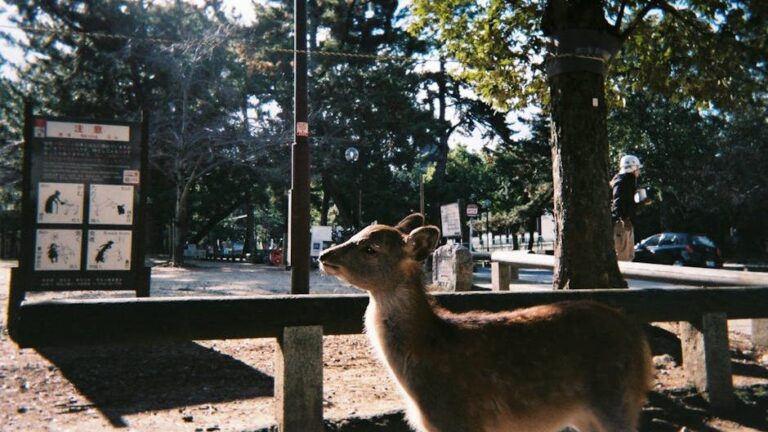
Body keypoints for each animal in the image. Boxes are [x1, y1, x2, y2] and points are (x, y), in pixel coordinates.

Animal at [319, 213, 653, 432]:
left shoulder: (460, 418)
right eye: (356, 234)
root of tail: (640, 343)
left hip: (615, 401)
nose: (323, 254)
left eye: (370, 248)